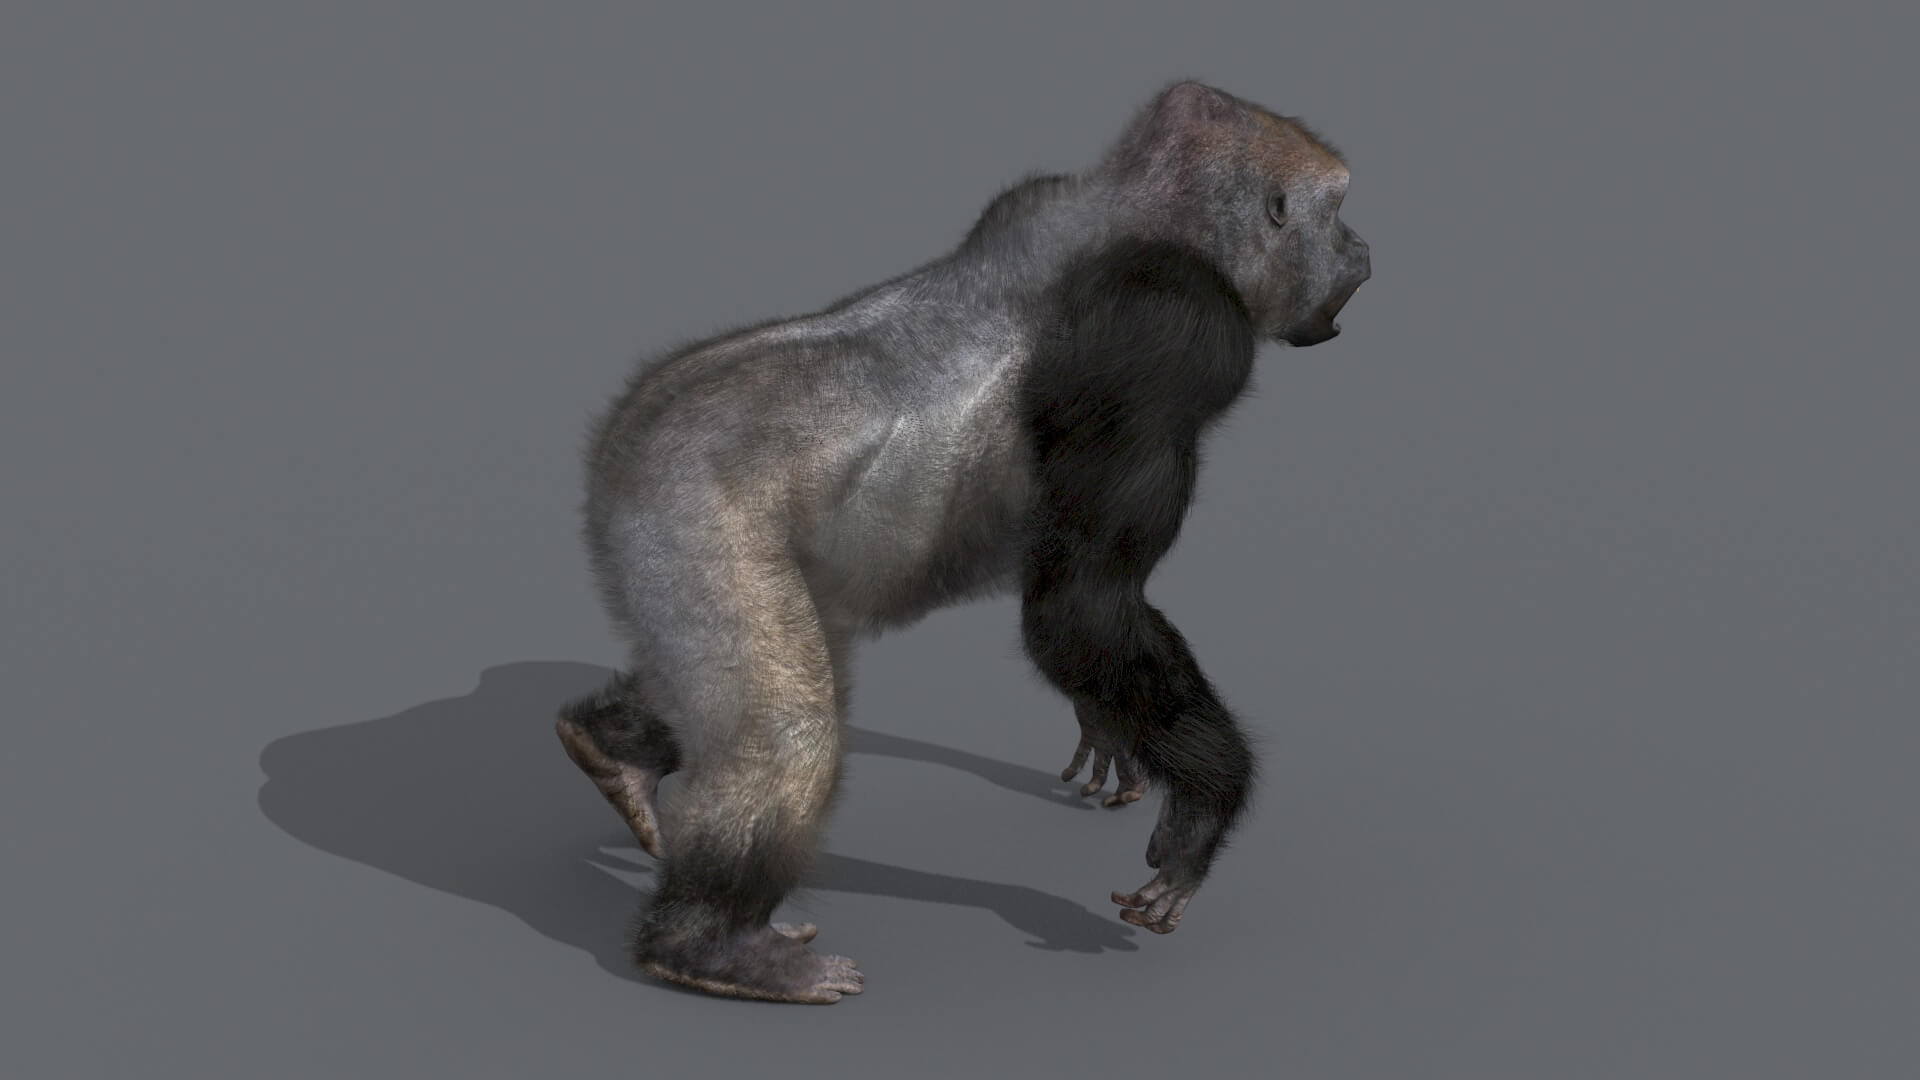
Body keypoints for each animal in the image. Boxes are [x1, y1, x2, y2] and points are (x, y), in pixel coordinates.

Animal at [554, 79, 1370, 1004]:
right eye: (1336, 216)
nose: (1361, 250)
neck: (1141, 205)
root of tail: (625, 427)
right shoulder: (1173, 328)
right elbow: (1081, 602)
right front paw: (1205, 806)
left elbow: (1082, 620)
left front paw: (1109, 727)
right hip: (675, 500)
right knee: (787, 727)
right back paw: (710, 948)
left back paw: (608, 750)